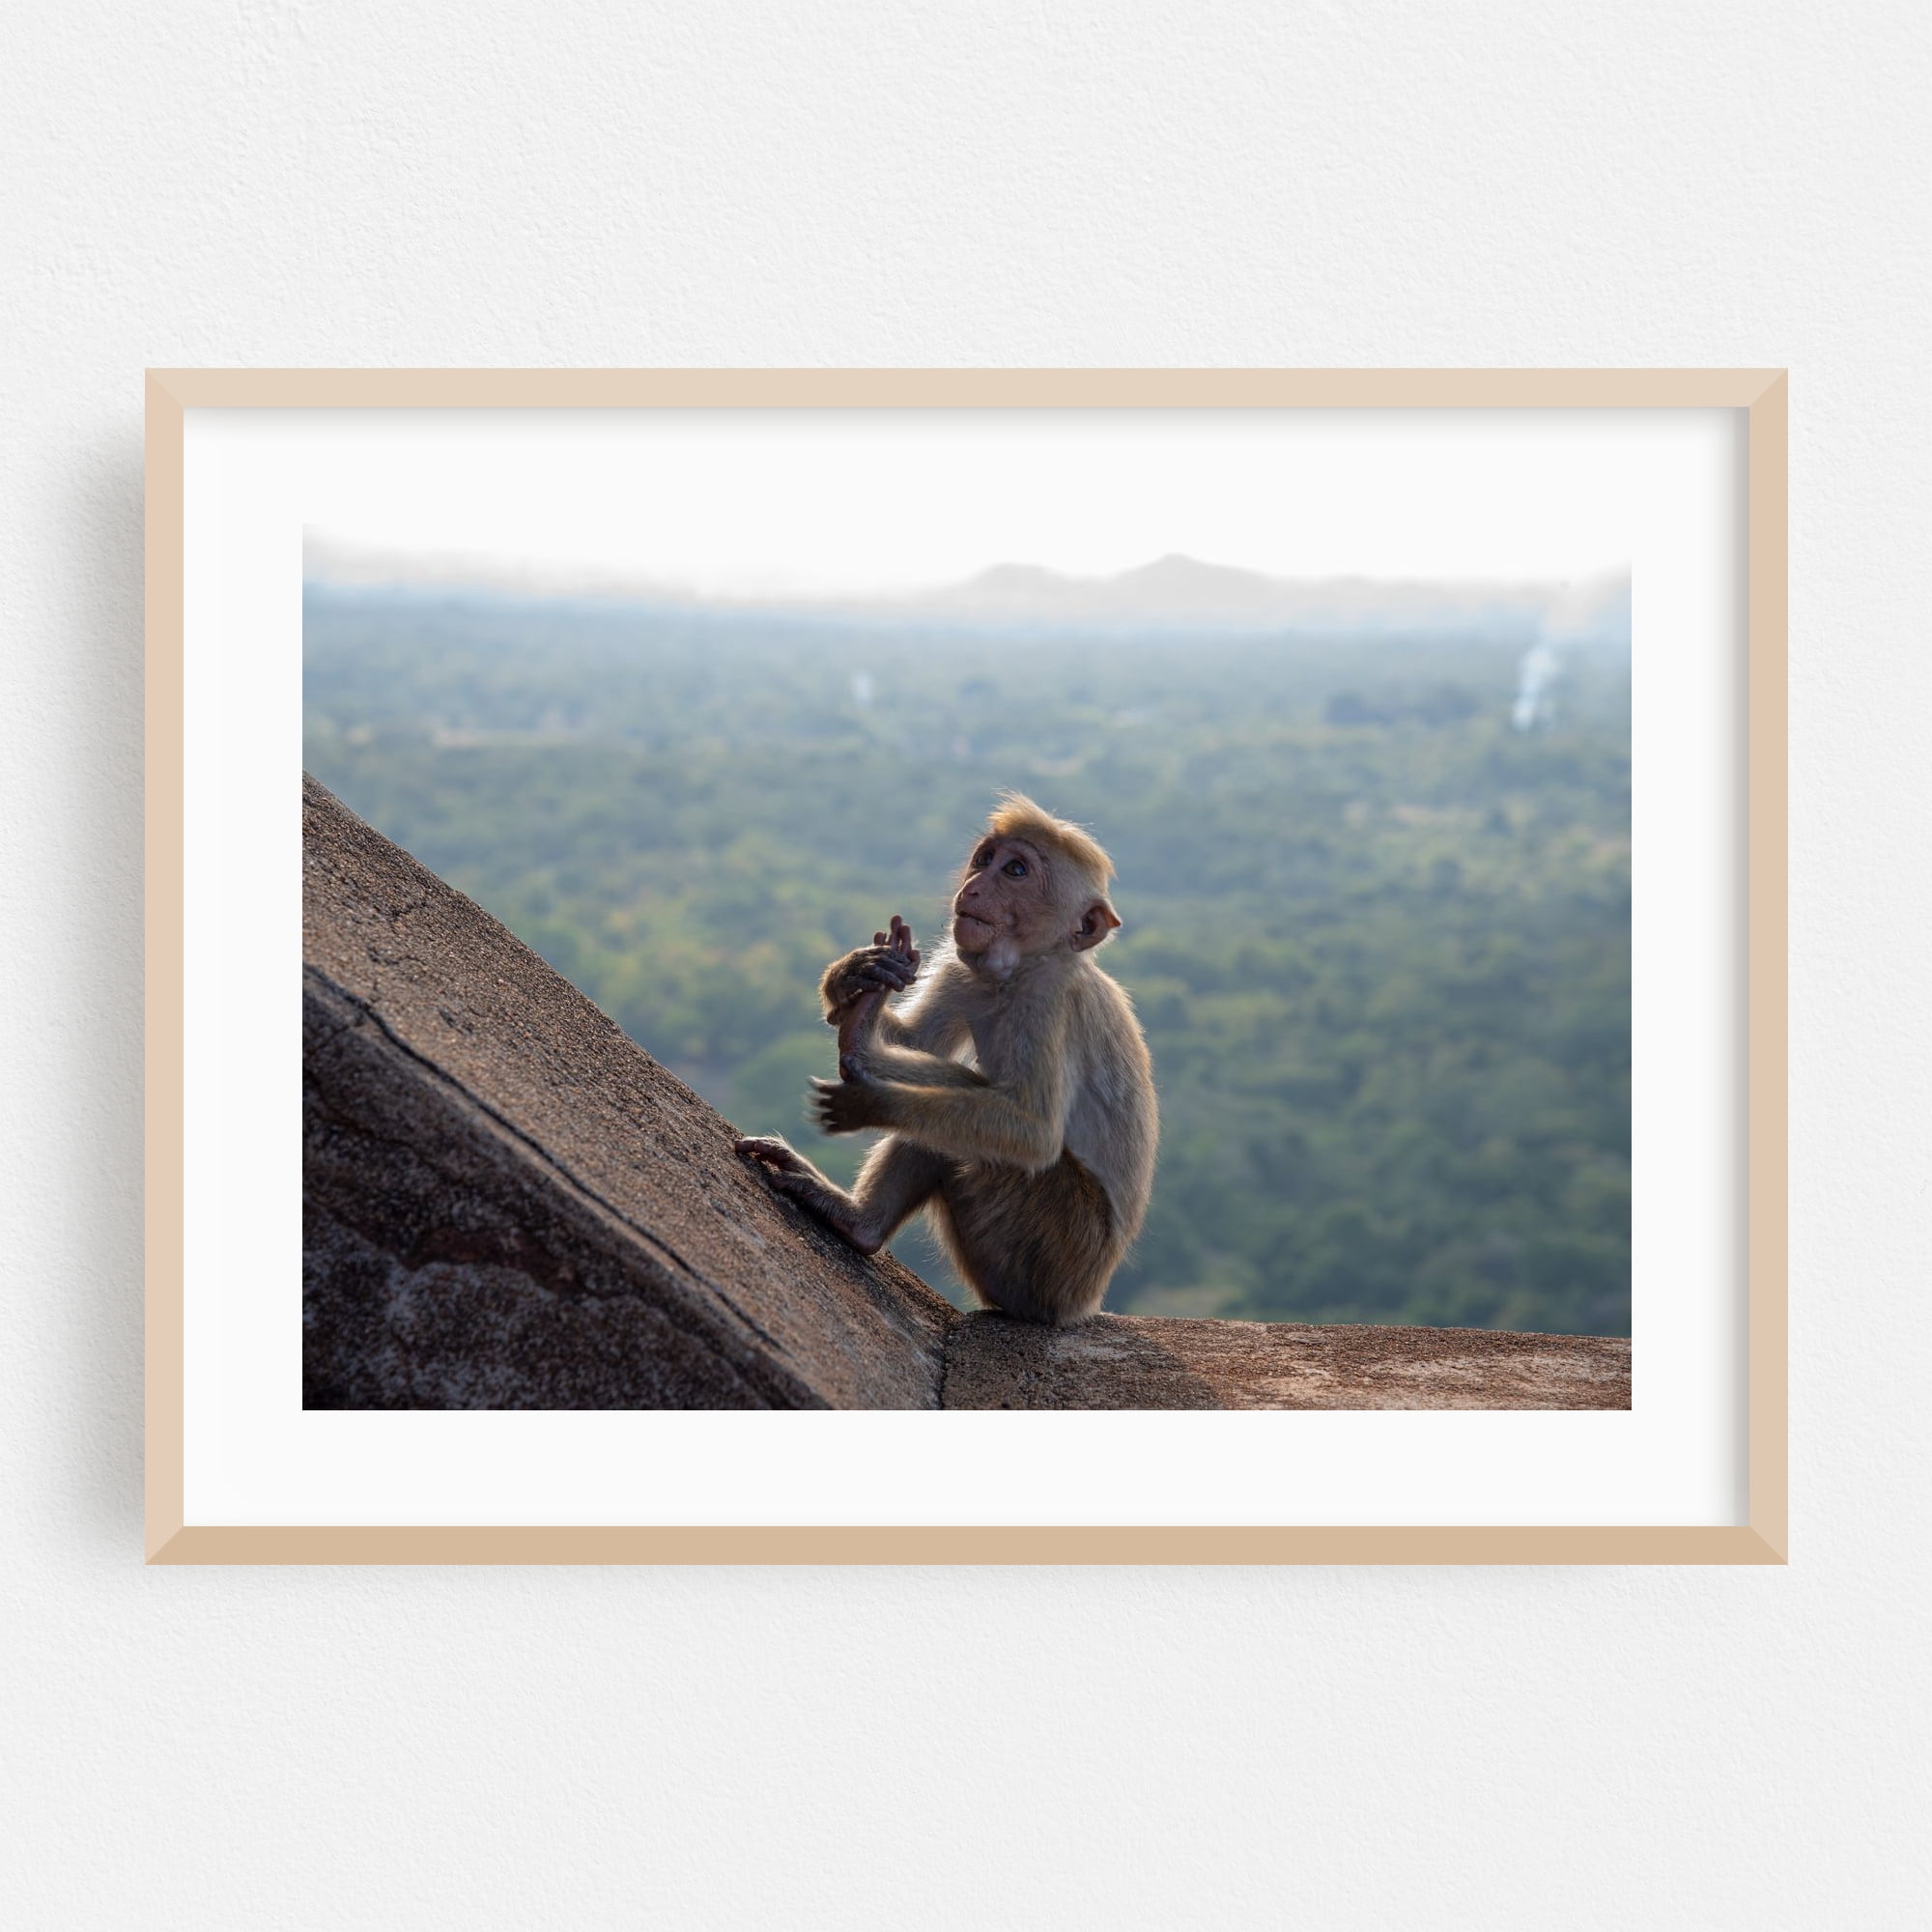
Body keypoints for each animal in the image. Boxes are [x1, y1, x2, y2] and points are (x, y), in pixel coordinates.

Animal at [735, 793, 1158, 1325]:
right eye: (985, 859)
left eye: (1015, 870)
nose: (973, 886)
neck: (1020, 970)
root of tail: (1079, 1305)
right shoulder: (964, 966)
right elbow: (919, 1040)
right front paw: (854, 975)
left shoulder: (1048, 1000)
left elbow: (1036, 1135)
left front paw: (875, 1103)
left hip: (1049, 1239)